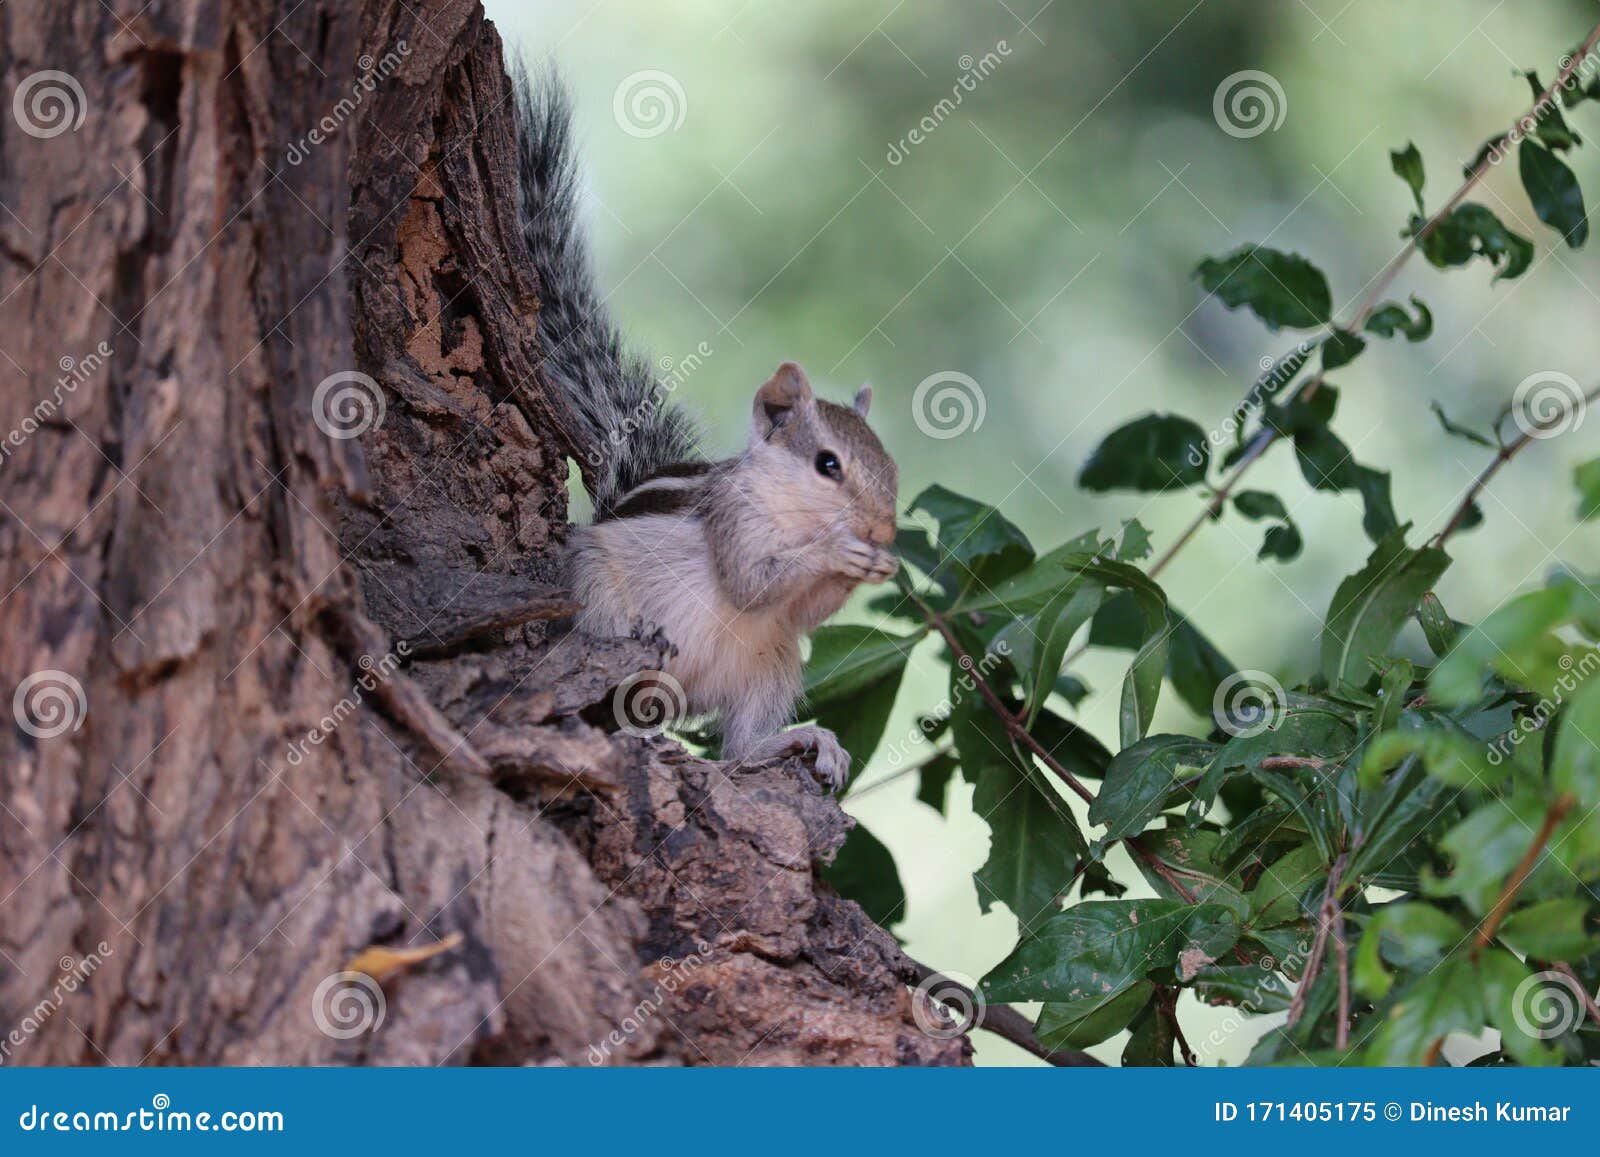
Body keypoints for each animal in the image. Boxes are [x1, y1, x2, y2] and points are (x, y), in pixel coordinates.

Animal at [512, 75, 900, 791]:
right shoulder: (731, 520)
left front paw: (875, 564)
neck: (788, 510)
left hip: (771, 666)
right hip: (601, 598)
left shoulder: (788, 621)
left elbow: (797, 609)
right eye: (827, 464)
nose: (882, 530)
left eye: (891, 466)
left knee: (739, 749)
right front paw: (840, 550)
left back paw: (800, 741)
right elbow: (751, 583)